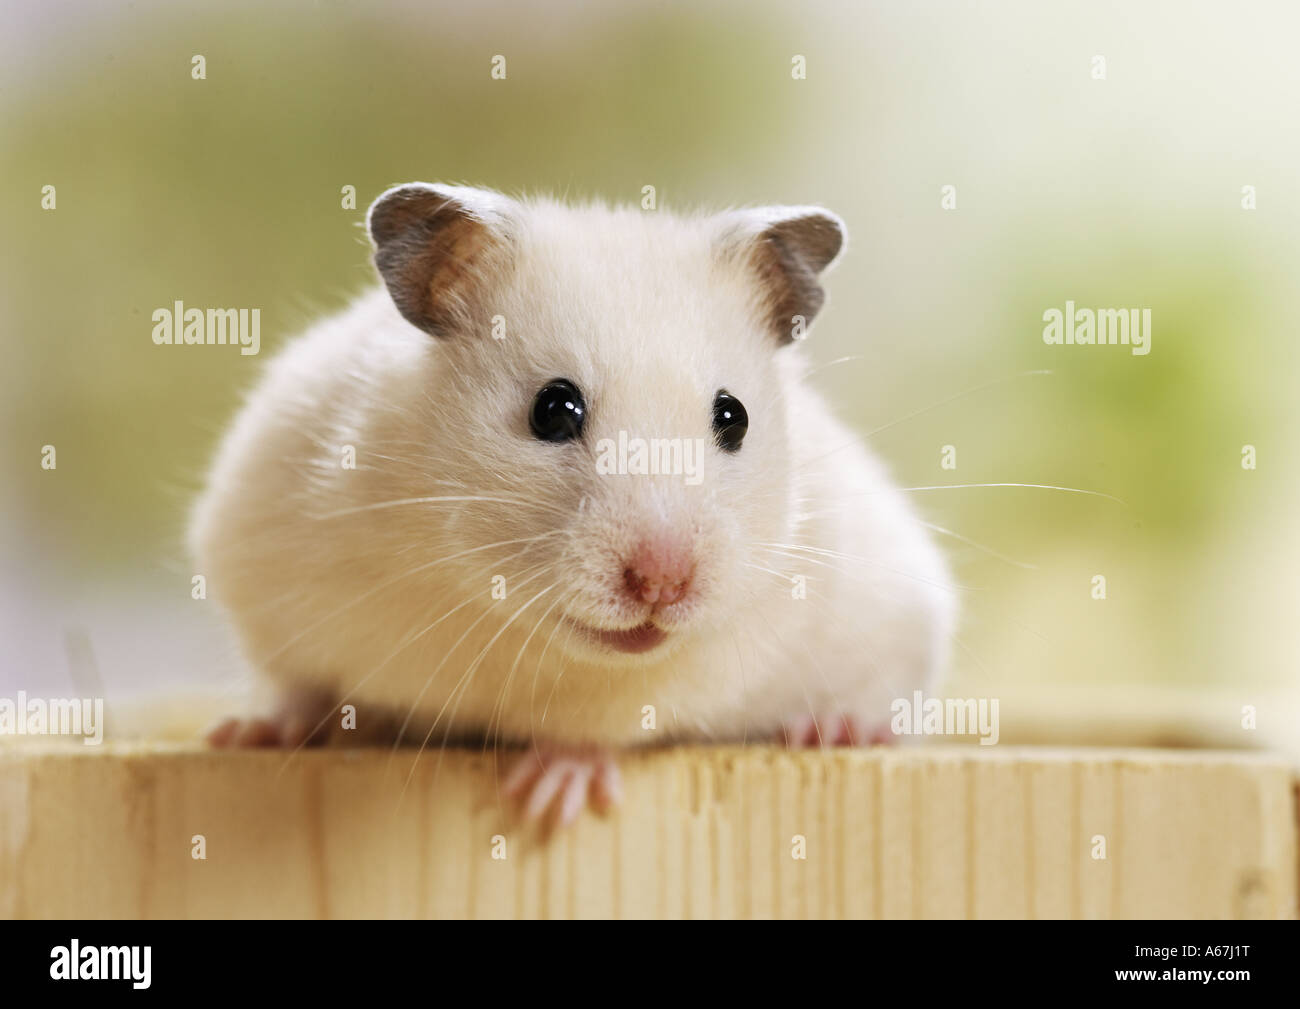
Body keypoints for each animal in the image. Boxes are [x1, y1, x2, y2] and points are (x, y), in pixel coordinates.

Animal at [192, 183, 955, 825]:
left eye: (733, 417)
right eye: (554, 409)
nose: (663, 582)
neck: (494, 614)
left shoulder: (693, 668)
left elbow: (604, 722)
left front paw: (548, 799)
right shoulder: (262, 559)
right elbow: (293, 681)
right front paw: (247, 733)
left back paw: (837, 728)